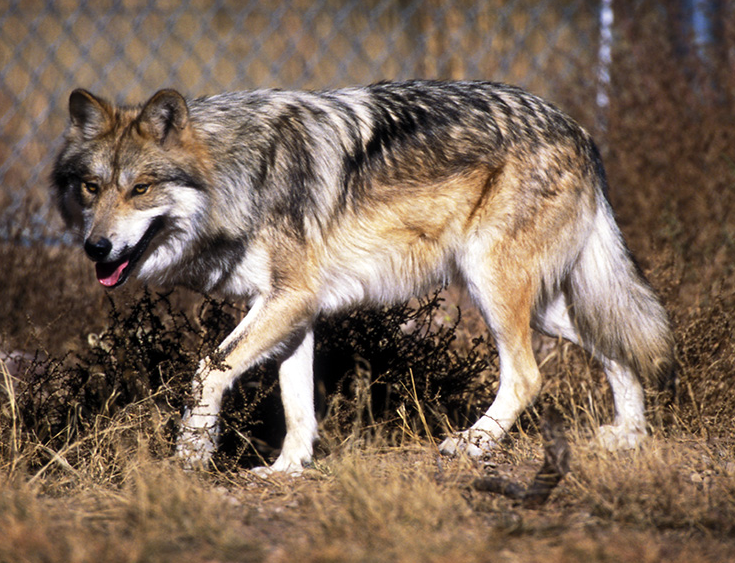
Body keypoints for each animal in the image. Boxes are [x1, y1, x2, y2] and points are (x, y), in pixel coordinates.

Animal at [50, 80, 672, 476]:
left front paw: (190, 457)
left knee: (528, 375)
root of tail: (579, 130)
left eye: (140, 189)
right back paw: (629, 436)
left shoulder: (288, 300)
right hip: (540, 303)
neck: (237, 176)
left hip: (494, 288)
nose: (95, 247)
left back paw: (470, 445)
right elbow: (297, 403)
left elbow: (207, 371)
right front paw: (286, 469)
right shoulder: (292, 310)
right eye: (91, 188)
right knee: (617, 343)